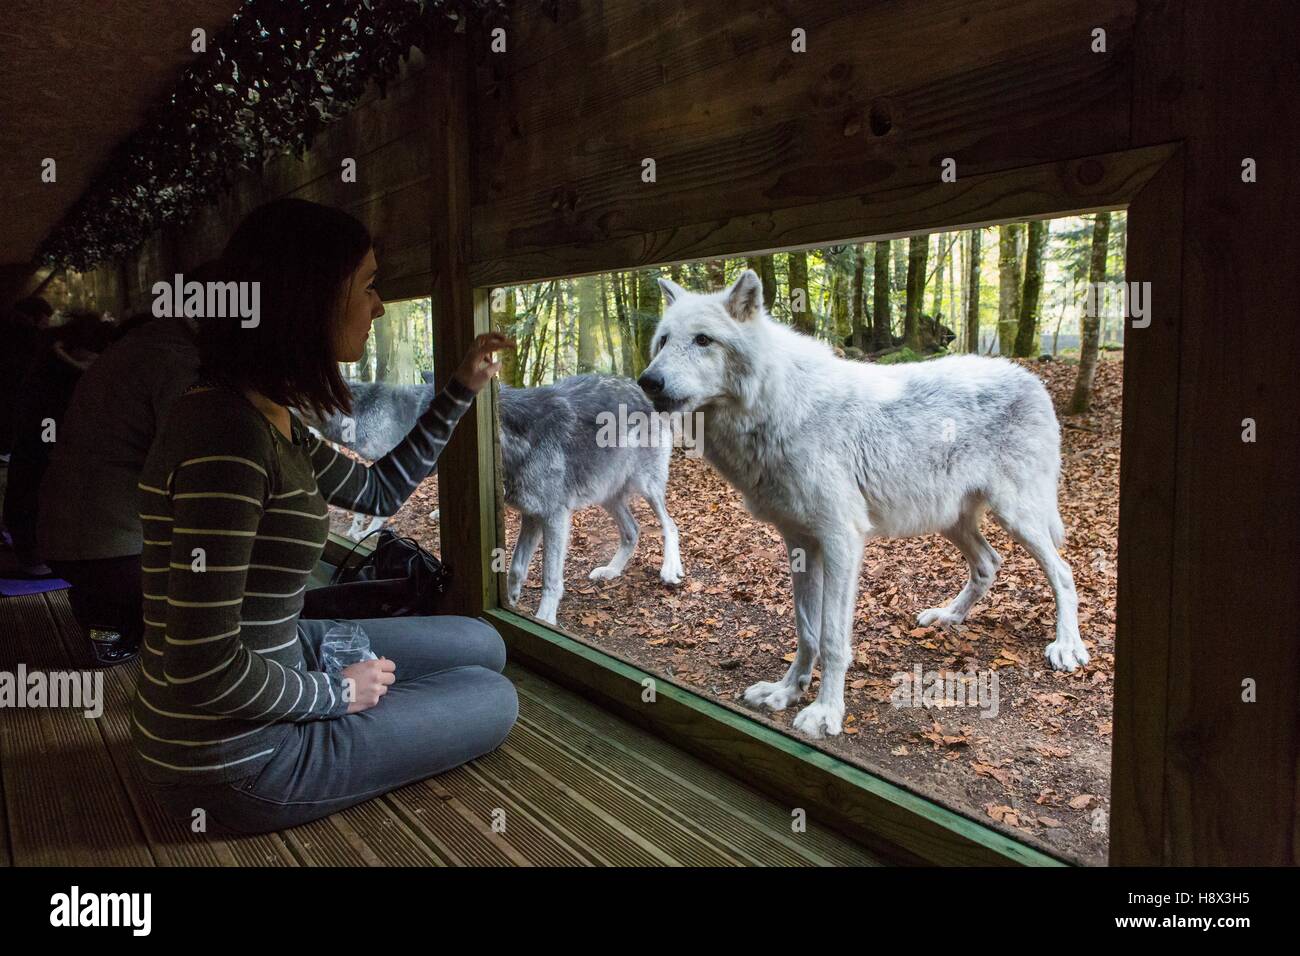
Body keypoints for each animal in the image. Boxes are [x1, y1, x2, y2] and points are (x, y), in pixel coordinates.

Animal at [300, 372, 684, 624]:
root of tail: (640, 389)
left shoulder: (555, 517)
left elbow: (550, 578)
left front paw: (545, 618)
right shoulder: (533, 516)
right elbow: (515, 567)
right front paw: (511, 599)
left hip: (644, 487)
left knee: (670, 525)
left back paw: (669, 569)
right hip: (608, 495)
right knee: (633, 531)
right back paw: (611, 571)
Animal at [637, 269, 1085, 739]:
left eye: (703, 340)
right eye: (663, 341)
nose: (648, 381)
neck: (778, 408)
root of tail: (1030, 378)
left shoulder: (841, 540)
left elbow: (832, 638)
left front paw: (825, 712)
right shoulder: (799, 542)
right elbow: (805, 630)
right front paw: (786, 691)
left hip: (1018, 517)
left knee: (1064, 573)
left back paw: (1067, 646)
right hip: (951, 520)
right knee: (988, 564)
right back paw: (948, 616)